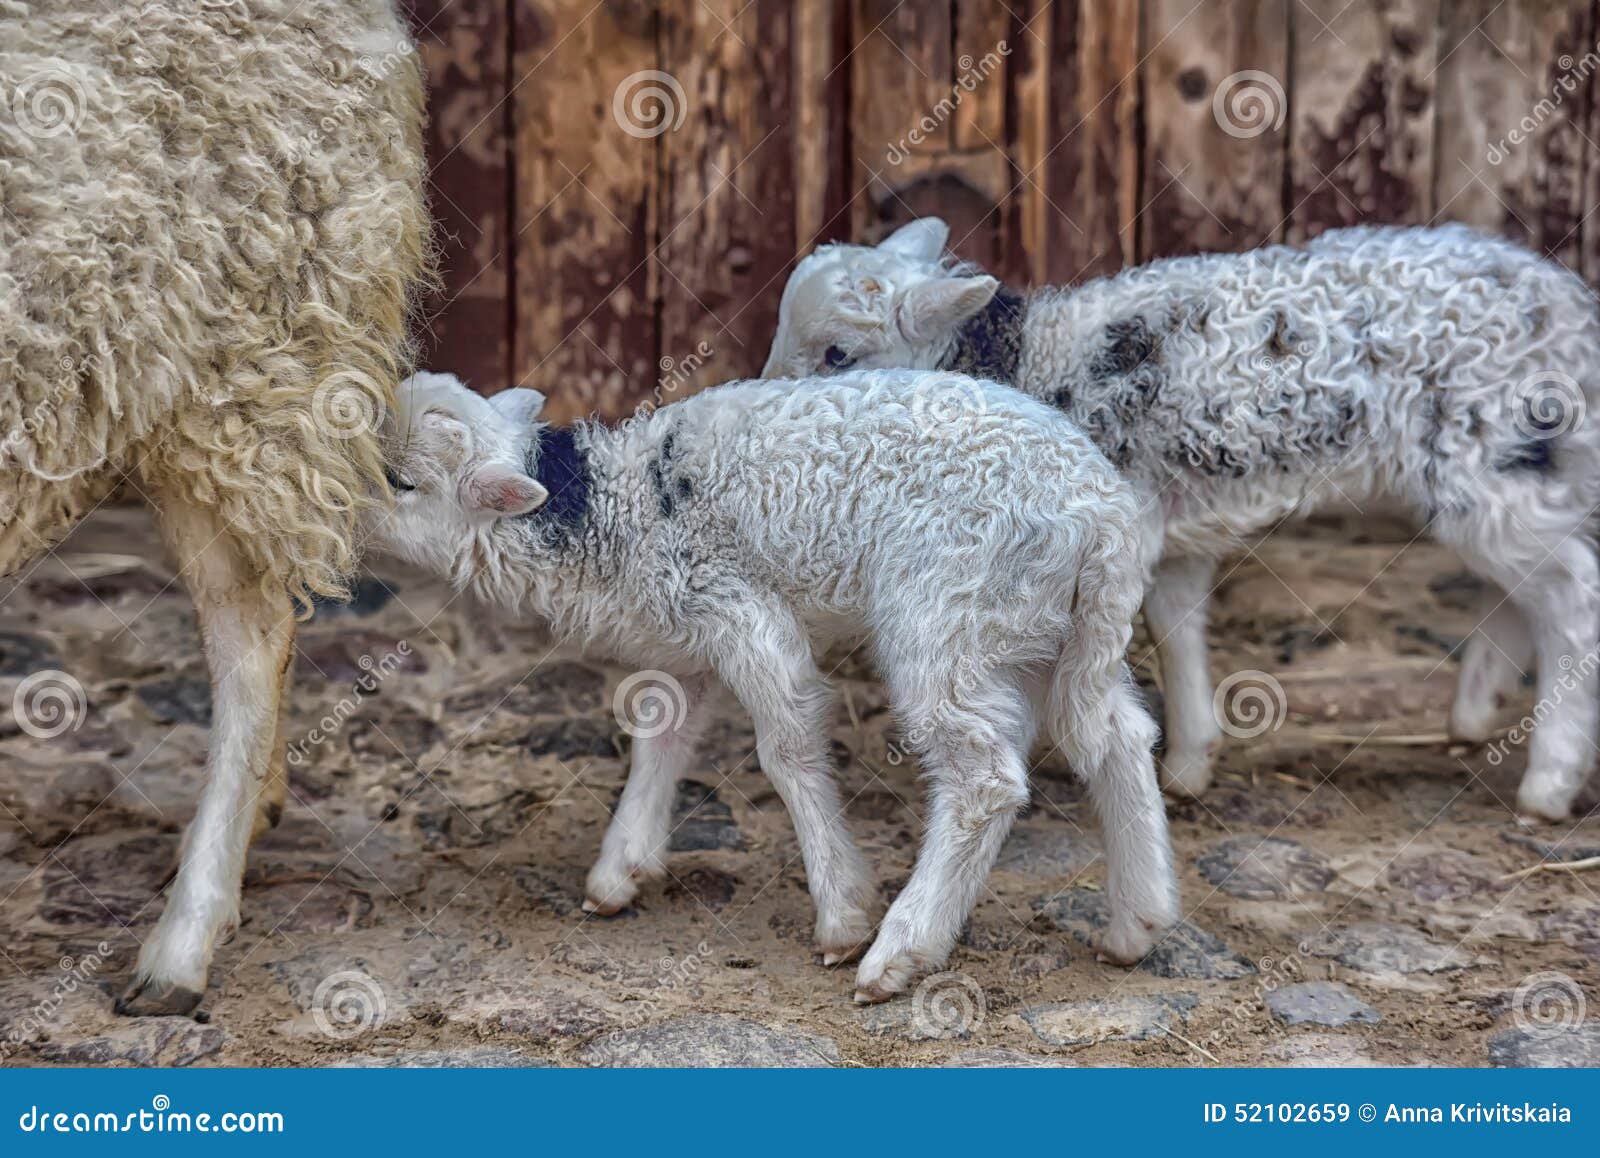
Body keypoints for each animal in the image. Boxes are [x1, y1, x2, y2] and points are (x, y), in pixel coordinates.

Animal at [363, 370, 1178, 1001]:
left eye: (400, 482)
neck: (610, 508)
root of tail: (1106, 514)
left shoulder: (743, 611)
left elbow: (785, 751)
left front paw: (842, 916)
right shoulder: (686, 631)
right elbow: (661, 733)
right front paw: (619, 870)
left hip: (948, 611)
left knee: (984, 780)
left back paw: (899, 950)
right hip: (1051, 633)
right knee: (1115, 735)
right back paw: (1136, 922)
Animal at [761, 217, 1600, 822]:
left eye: (837, 354)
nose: (765, 405)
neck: (1028, 364)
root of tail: (1572, 311)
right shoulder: (1163, 526)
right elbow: (1177, 626)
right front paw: (1191, 763)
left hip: (1492, 458)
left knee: (1571, 593)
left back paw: (1548, 782)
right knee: (1526, 590)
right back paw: (1476, 713)